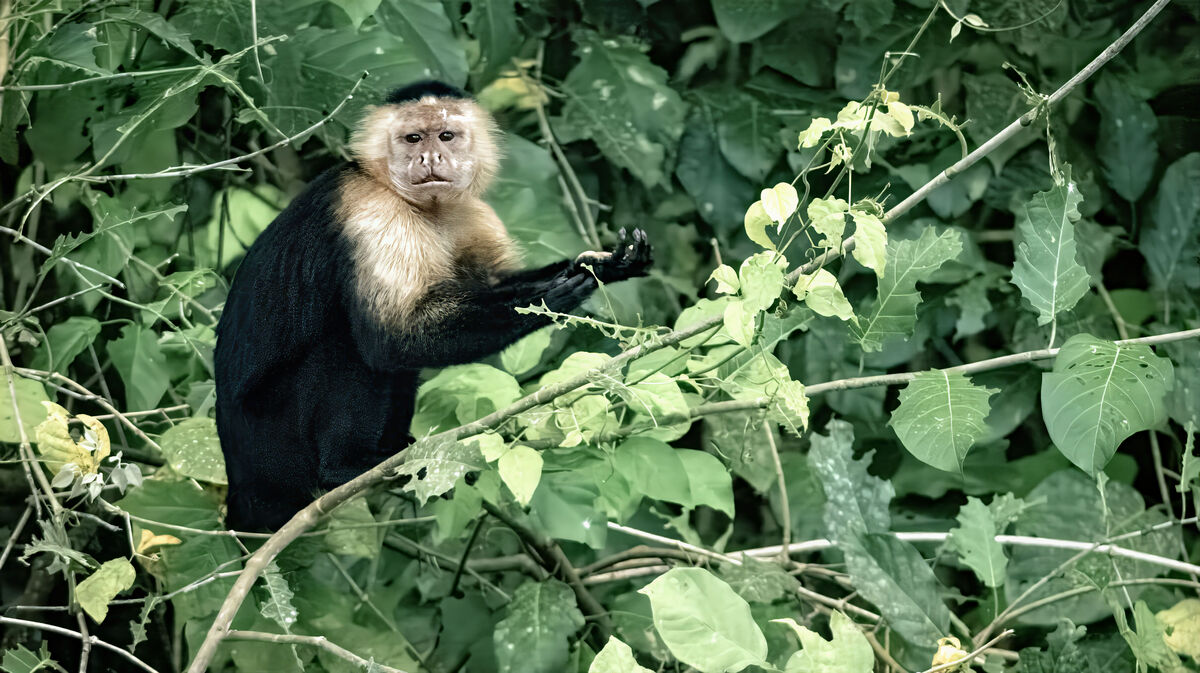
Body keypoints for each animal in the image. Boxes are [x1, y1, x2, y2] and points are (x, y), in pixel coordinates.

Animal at [213, 81, 651, 530]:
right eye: (413, 139)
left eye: (445, 136)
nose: (430, 158)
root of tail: (240, 477)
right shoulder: (372, 213)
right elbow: (391, 338)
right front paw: (546, 297)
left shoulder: (473, 214)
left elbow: (483, 289)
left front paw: (603, 265)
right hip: (274, 446)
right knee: (349, 347)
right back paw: (344, 467)